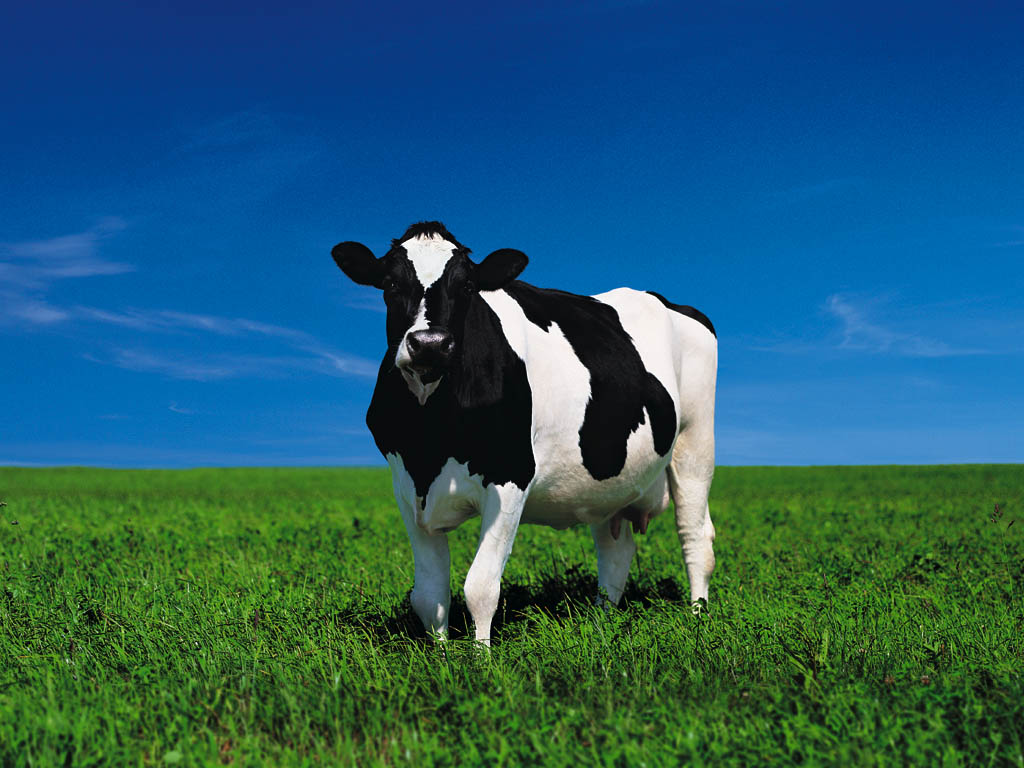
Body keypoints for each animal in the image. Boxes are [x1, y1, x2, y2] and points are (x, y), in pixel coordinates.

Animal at [332, 221, 717, 645]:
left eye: (467, 286)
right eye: (389, 283)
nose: (430, 344)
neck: (431, 439)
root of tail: (670, 302)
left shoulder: (511, 476)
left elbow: (480, 587)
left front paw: (480, 657)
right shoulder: (406, 485)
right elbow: (429, 595)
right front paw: (442, 654)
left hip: (696, 441)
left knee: (695, 535)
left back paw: (698, 619)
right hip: (608, 483)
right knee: (616, 551)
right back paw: (602, 625)